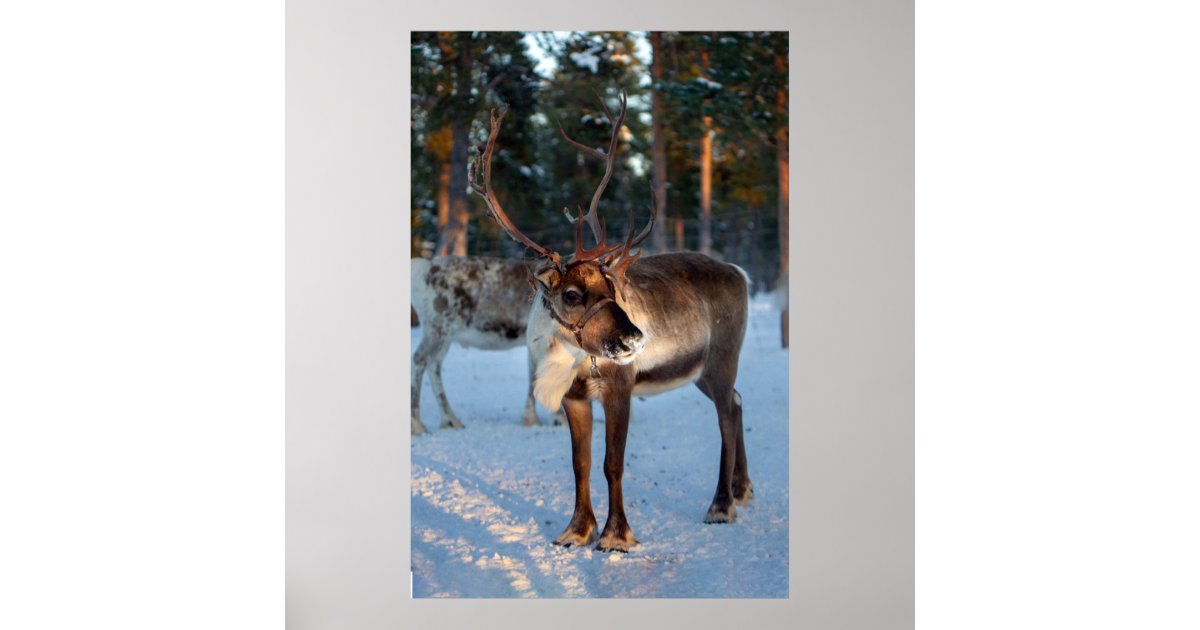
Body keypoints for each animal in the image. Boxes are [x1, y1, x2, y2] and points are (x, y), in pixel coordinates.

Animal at [410, 256, 565, 435]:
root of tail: (421, 266)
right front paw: (555, 419)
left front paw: (534, 420)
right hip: (437, 327)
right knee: (418, 359)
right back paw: (417, 425)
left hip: (443, 335)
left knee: (433, 364)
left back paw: (451, 420)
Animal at [468, 91, 753, 552]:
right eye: (571, 295)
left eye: (612, 287)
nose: (635, 337)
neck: (568, 355)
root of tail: (739, 271)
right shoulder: (574, 397)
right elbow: (580, 464)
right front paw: (575, 531)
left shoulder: (619, 387)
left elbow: (612, 464)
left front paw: (616, 536)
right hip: (701, 372)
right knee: (739, 403)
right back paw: (743, 490)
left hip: (722, 359)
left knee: (727, 416)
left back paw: (721, 506)